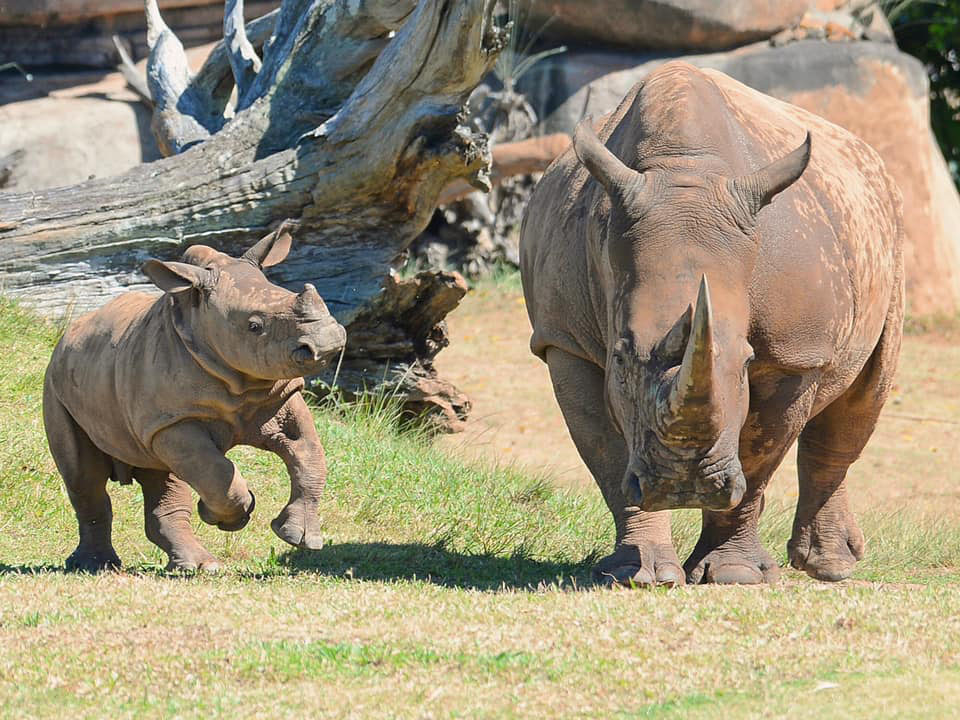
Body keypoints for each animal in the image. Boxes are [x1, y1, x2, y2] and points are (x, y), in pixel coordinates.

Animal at [43, 224, 347, 572]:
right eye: (254, 326)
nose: (328, 343)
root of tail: (71, 330)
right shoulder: (174, 419)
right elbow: (217, 471)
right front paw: (230, 516)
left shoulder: (278, 395)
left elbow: (309, 454)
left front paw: (300, 538)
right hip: (57, 385)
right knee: (84, 478)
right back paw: (96, 566)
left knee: (162, 473)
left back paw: (197, 566)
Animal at [520, 62, 903, 585]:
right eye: (619, 357)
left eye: (746, 361)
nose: (684, 485)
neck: (684, 171)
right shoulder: (565, 339)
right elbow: (609, 457)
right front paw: (636, 574)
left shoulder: (794, 353)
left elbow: (759, 457)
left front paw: (734, 575)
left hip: (891, 230)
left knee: (866, 389)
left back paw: (831, 567)